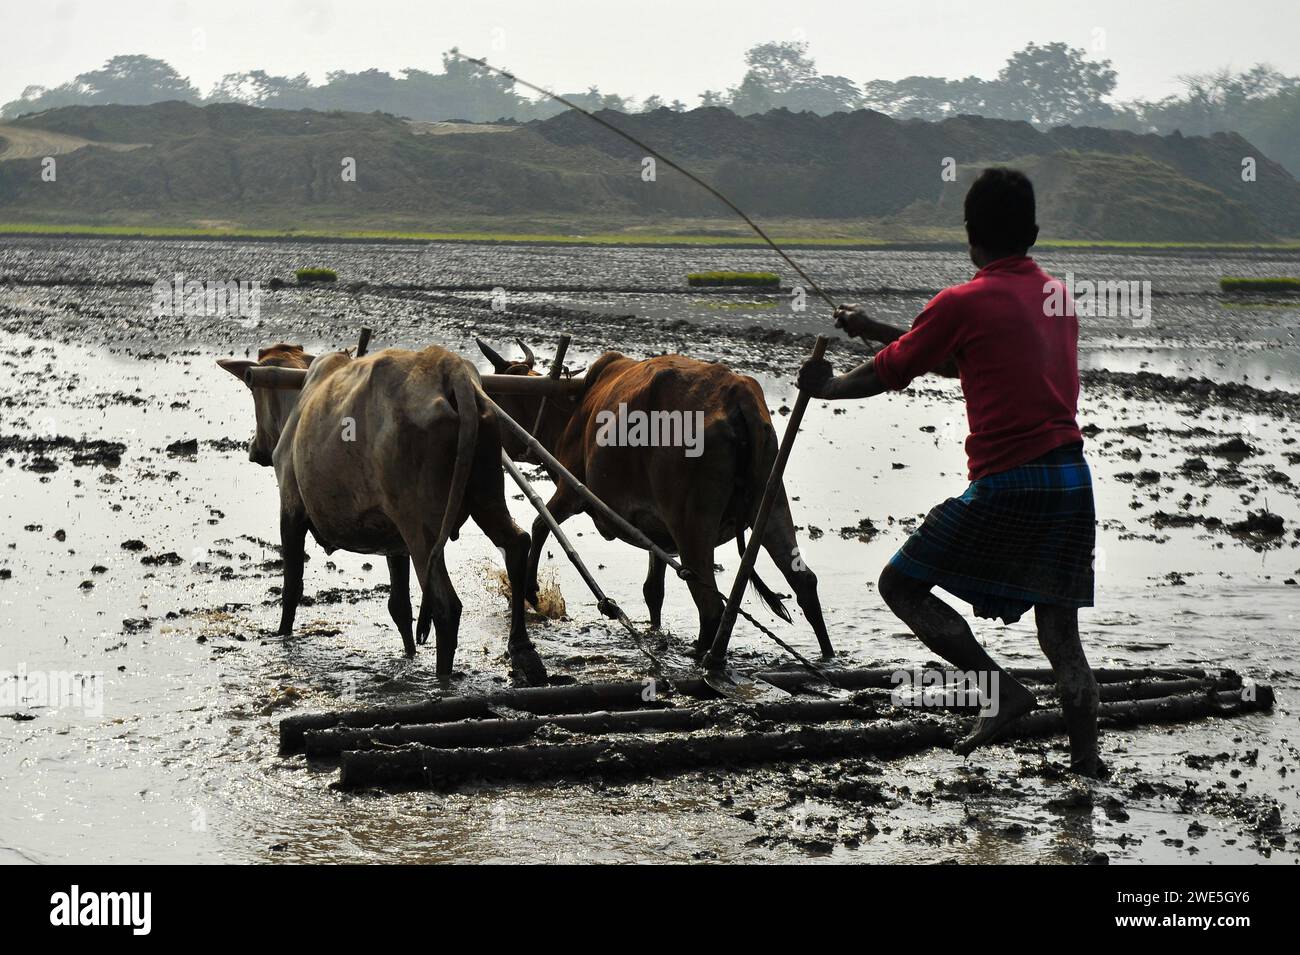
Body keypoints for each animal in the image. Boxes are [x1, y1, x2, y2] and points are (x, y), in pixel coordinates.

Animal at [217, 343, 545, 684]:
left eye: (253, 390)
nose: (255, 448)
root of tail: (451, 370)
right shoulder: (394, 542)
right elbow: (399, 606)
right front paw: (409, 655)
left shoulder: (291, 509)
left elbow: (292, 588)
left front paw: (282, 636)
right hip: (485, 494)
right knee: (516, 543)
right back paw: (522, 650)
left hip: (420, 527)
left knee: (446, 605)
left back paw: (443, 678)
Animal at [477, 339, 832, 660]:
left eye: (496, 395)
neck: (573, 408)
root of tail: (737, 397)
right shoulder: (657, 532)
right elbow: (653, 591)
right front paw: (655, 631)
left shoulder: (572, 487)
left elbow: (540, 524)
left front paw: (531, 591)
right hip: (771, 502)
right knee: (805, 583)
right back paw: (827, 656)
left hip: (690, 525)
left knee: (711, 607)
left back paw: (703, 660)